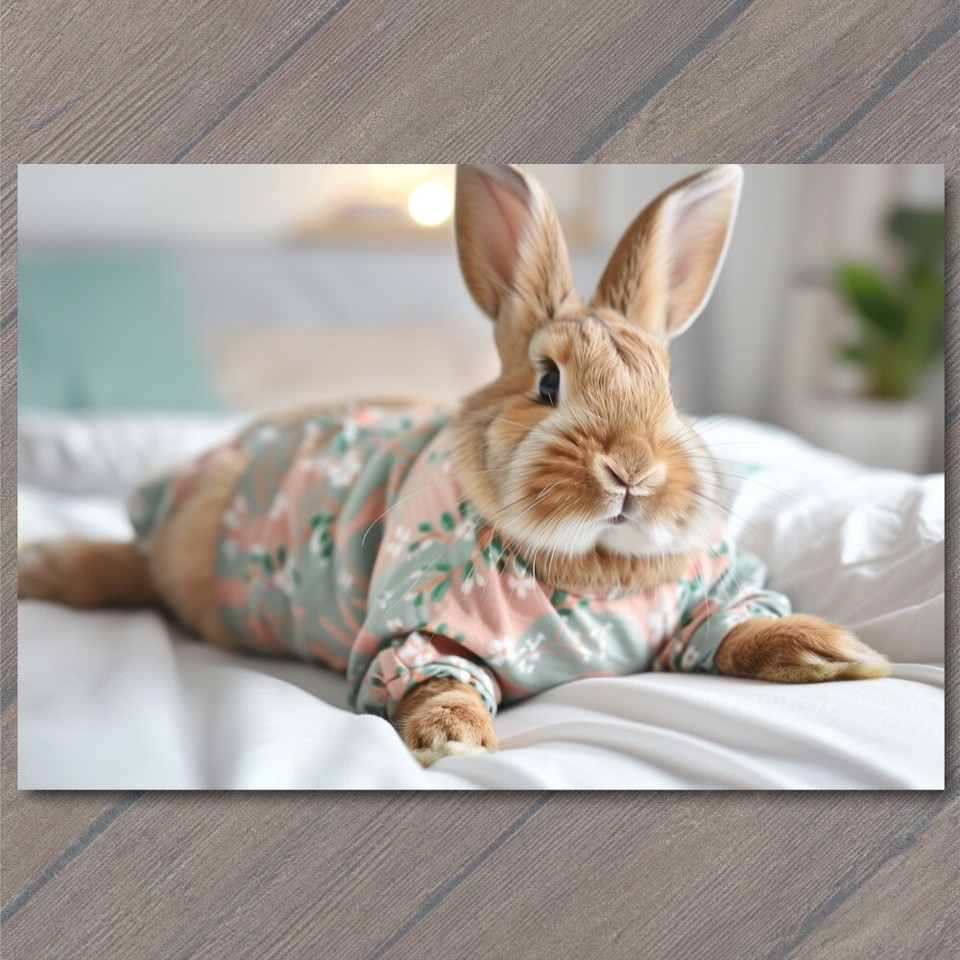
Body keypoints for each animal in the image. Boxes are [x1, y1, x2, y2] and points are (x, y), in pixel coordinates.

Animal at [19, 164, 891, 767]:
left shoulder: (708, 600)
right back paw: (44, 564)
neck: (592, 571)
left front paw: (838, 655)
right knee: (130, 570)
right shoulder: (418, 634)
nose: (632, 472)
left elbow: (739, 625)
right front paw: (454, 743)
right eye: (547, 383)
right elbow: (438, 678)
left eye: (670, 390)